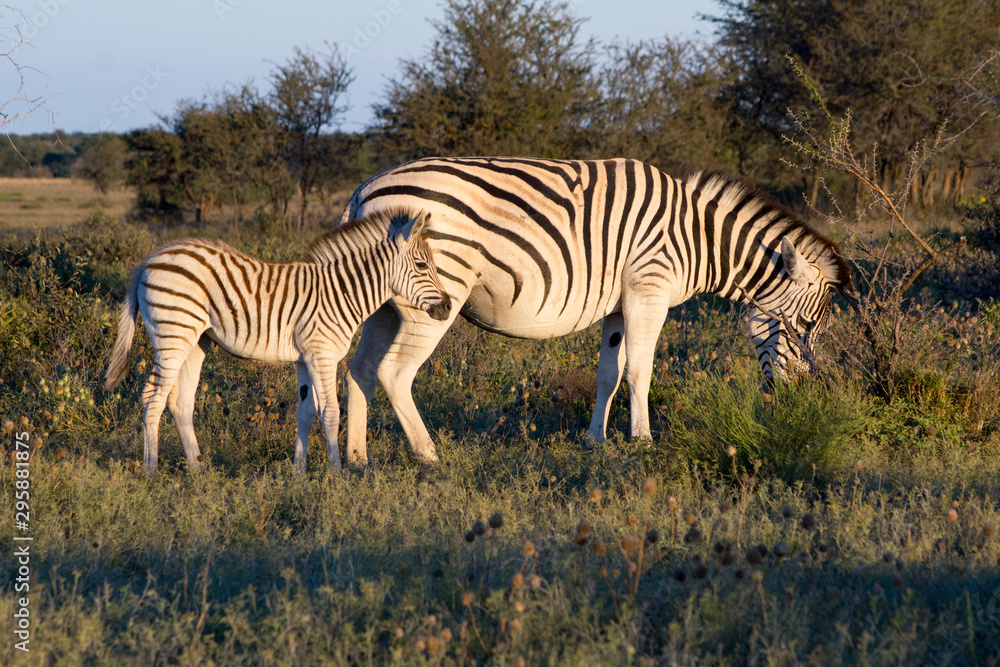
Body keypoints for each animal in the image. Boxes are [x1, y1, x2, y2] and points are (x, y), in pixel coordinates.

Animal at [104, 208, 451, 474]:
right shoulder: (322, 354)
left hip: (195, 340)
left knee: (180, 402)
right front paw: (336, 472)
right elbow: (331, 413)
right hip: (172, 335)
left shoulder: (305, 358)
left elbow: (306, 412)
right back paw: (151, 470)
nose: (448, 307)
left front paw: (299, 471)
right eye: (422, 266)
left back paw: (199, 469)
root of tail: (150, 258)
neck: (340, 293)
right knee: (152, 397)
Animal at [336, 157, 854, 466]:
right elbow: (641, 370)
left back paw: (358, 458)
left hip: (383, 302)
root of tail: (365, 187)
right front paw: (643, 442)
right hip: (434, 294)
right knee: (395, 372)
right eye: (805, 327)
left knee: (361, 369)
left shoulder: (620, 305)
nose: (799, 400)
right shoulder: (649, 288)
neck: (698, 240)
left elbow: (610, 371)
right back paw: (428, 455)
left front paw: (595, 441)